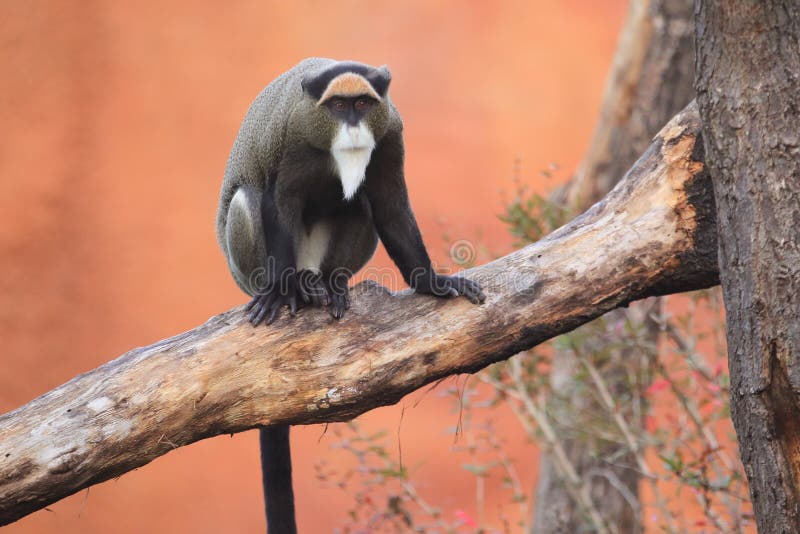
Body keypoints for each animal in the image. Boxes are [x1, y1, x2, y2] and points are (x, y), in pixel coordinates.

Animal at [216, 58, 485, 533]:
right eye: (338, 107)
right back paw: (295, 287)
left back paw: (328, 284)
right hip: (245, 266)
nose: (355, 125)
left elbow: (389, 202)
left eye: (362, 104)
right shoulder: (293, 140)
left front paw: (434, 283)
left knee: (358, 201)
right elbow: (278, 200)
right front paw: (280, 292)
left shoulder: (391, 133)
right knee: (249, 198)